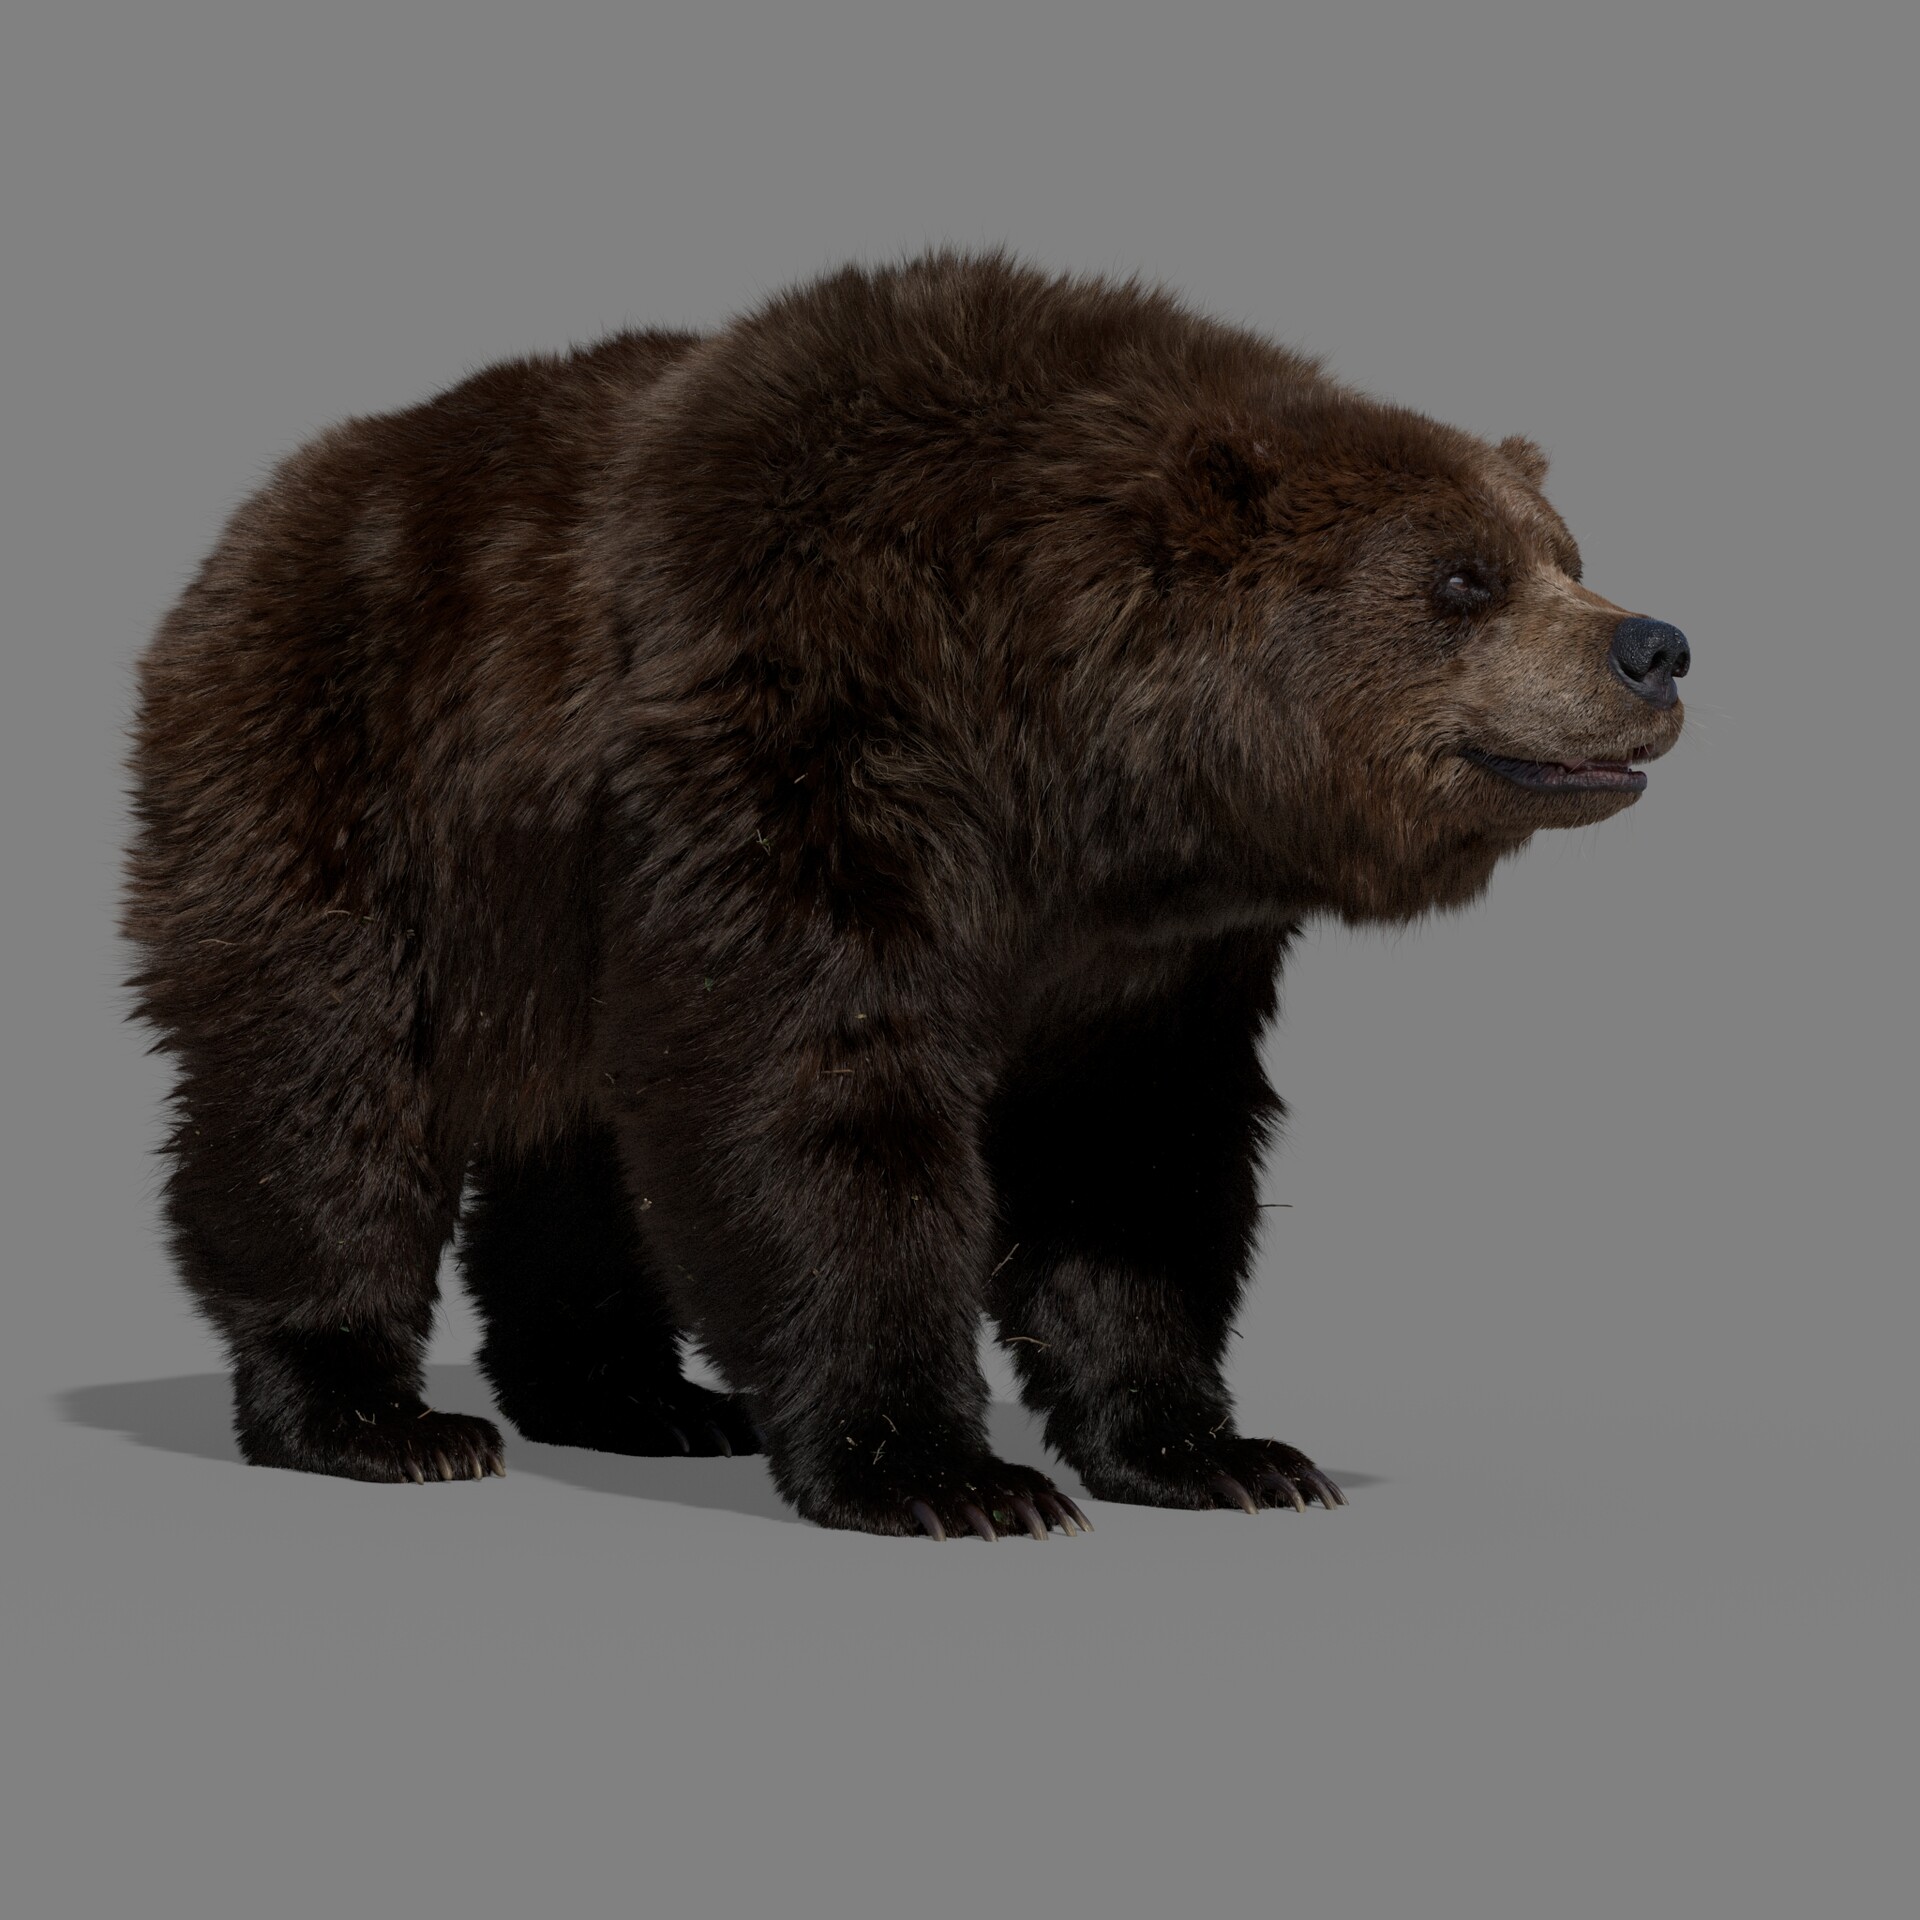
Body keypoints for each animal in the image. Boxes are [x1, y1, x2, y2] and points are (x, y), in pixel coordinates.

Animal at [123, 251, 1688, 1539]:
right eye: (1462, 579)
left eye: (1566, 550)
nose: (1654, 647)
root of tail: (265, 511)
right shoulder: (809, 740)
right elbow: (818, 1094)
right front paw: (944, 1474)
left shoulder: (1147, 955)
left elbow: (1135, 1156)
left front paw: (1218, 1452)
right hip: (353, 783)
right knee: (323, 1082)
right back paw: (376, 1414)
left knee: (577, 1130)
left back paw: (636, 1397)